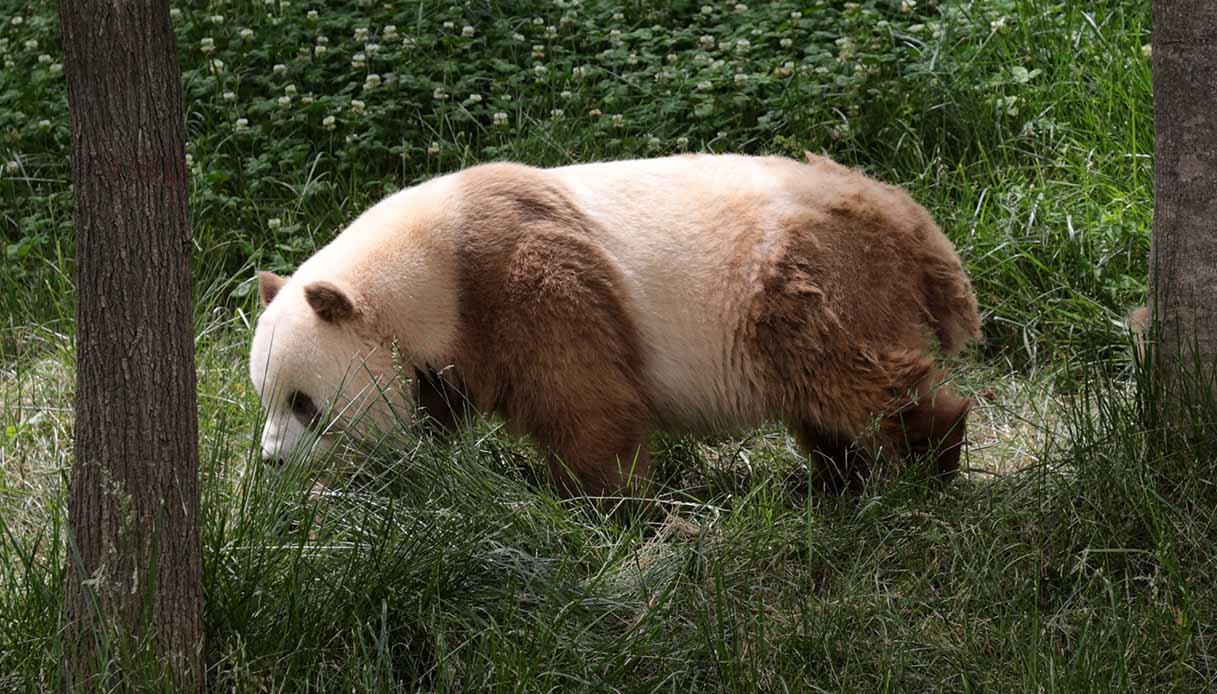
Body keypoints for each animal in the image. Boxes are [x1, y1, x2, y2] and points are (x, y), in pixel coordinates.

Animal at [249, 152, 982, 496]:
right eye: (267, 398)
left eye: (303, 402)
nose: (272, 461)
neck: (430, 262)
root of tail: (906, 215)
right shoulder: (450, 347)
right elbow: (432, 418)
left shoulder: (523, 279)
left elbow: (586, 401)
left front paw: (595, 502)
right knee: (822, 399)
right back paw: (835, 482)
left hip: (806, 274)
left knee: (855, 374)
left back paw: (929, 464)